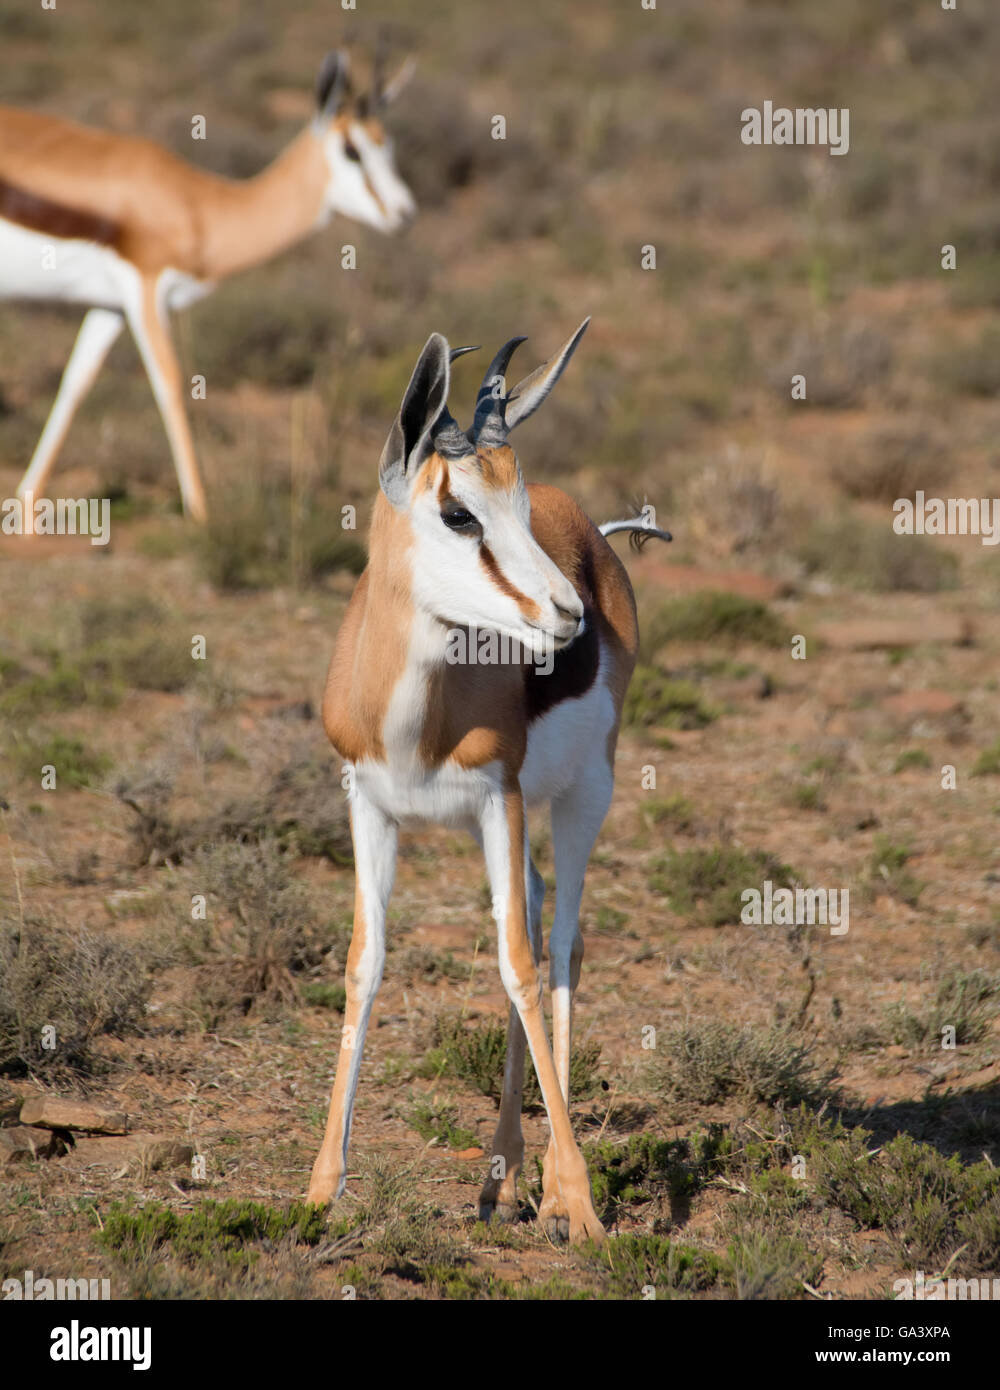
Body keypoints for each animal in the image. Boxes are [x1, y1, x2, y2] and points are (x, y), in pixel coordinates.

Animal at [0, 49, 415, 523]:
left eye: (389, 145)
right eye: (351, 150)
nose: (405, 213)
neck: (199, 207)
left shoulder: (111, 306)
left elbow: (75, 383)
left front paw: (24, 507)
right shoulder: (146, 291)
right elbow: (170, 384)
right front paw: (201, 514)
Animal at [307, 319, 672, 1243]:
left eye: (515, 507)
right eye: (458, 511)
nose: (568, 613)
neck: (415, 723)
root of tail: (593, 530)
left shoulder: (495, 800)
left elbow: (517, 965)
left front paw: (578, 1199)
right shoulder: (369, 806)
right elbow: (366, 961)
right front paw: (321, 1189)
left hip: (583, 798)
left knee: (562, 942)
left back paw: (546, 1185)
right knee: (538, 913)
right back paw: (499, 1178)